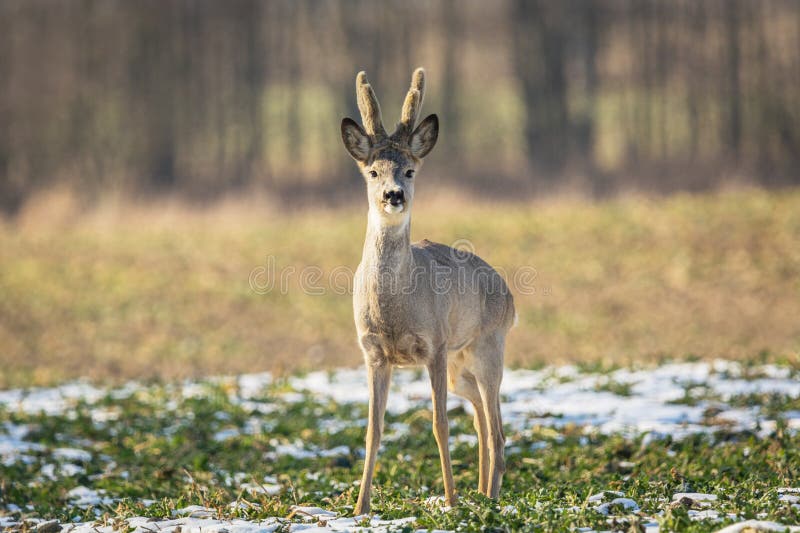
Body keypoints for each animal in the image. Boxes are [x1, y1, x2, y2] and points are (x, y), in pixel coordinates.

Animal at [340, 68, 516, 515]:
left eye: (410, 171)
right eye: (373, 172)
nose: (394, 195)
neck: (394, 310)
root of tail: (510, 295)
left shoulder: (433, 345)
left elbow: (439, 424)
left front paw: (450, 501)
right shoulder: (373, 353)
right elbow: (373, 429)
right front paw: (360, 508)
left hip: (489, 346)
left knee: (497, 428)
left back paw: (487, 497)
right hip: (460, 364)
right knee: (481, 419)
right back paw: (481, 493)